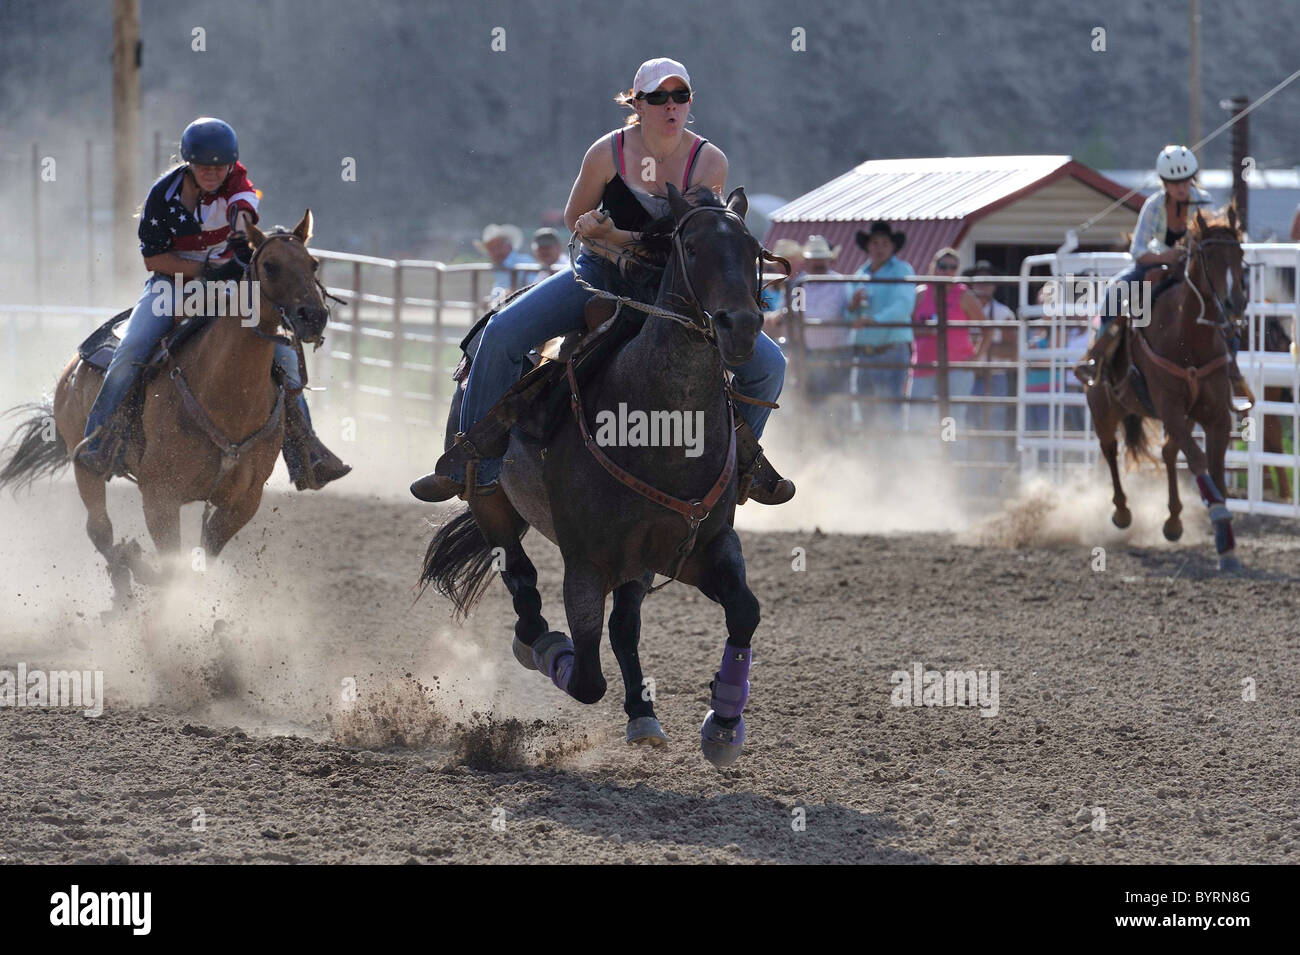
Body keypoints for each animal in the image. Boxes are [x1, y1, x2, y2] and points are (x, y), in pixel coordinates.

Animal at [0, 211, 329, 607]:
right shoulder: (160, 496)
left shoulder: (243, 502)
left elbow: (200, 559)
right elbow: (171, 567)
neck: (227, 398)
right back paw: (125, 584)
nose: (313, 316)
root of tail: (71, 369)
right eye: (271, 265)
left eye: (313, 264)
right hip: (85, 466)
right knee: (99, 529)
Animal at [417, 184, 766, 768]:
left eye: (752, 248)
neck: (663, 432)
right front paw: (557, 655)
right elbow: (585, 678)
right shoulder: (586, 560)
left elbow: (743, 610)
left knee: (624, 627)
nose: (740, 326)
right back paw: (538, 643)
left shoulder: (701, 545)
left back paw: (643, 714)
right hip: (491, 502)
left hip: (637, 561)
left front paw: (723, 727)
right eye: (692, 247)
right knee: (520, 576)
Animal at [1085, 205, 1246, 571]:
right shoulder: (1170, 408)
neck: (1187, 336)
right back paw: (1122, 512)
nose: (1236, 303)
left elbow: (1215, 468)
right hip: (1102, 408)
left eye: (1240, 254)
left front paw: (1226, 543)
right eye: (1208, 256)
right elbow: (1199, 459)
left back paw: (1173, 522)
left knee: (1169, 452)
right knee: (1109, 449)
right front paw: (1219, 516)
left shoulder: (1216, 415)